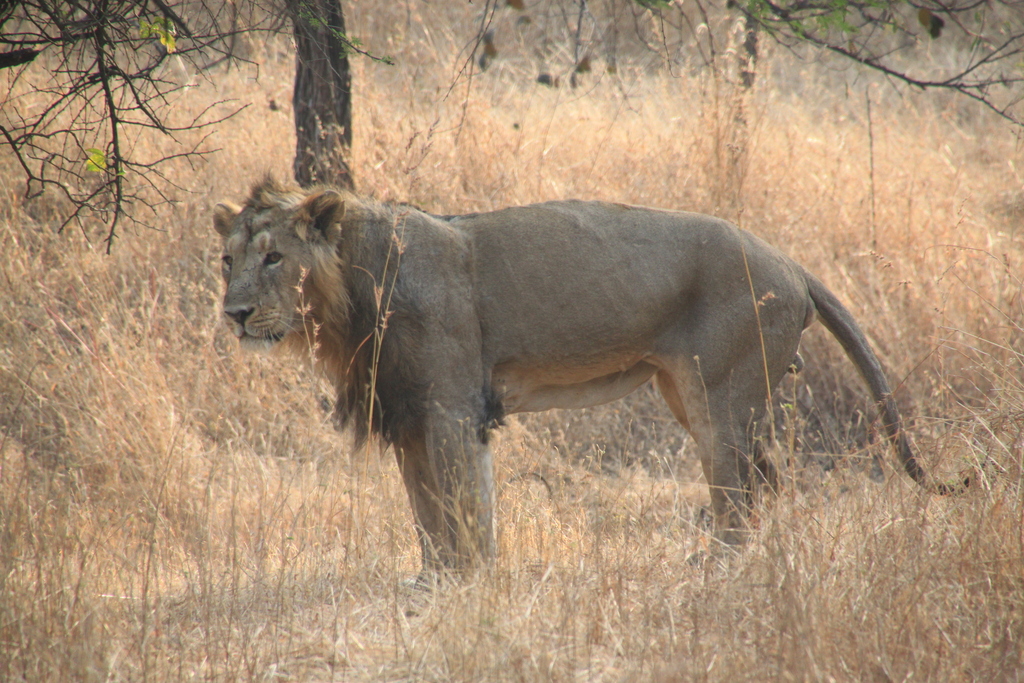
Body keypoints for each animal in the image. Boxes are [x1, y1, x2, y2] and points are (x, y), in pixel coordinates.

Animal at [213, 177, 963, 574]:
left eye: (274, 256)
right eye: (227, 259)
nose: (235, 313)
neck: (351, 290)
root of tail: (789, 261)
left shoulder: (452, 407)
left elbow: (459, 507)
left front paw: (467, 586)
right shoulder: (410, 414)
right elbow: (428, 513)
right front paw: (434, 585)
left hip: (722, 395)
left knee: (739, 492)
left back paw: (717, 570)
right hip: (687, 392)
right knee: (767, 478)